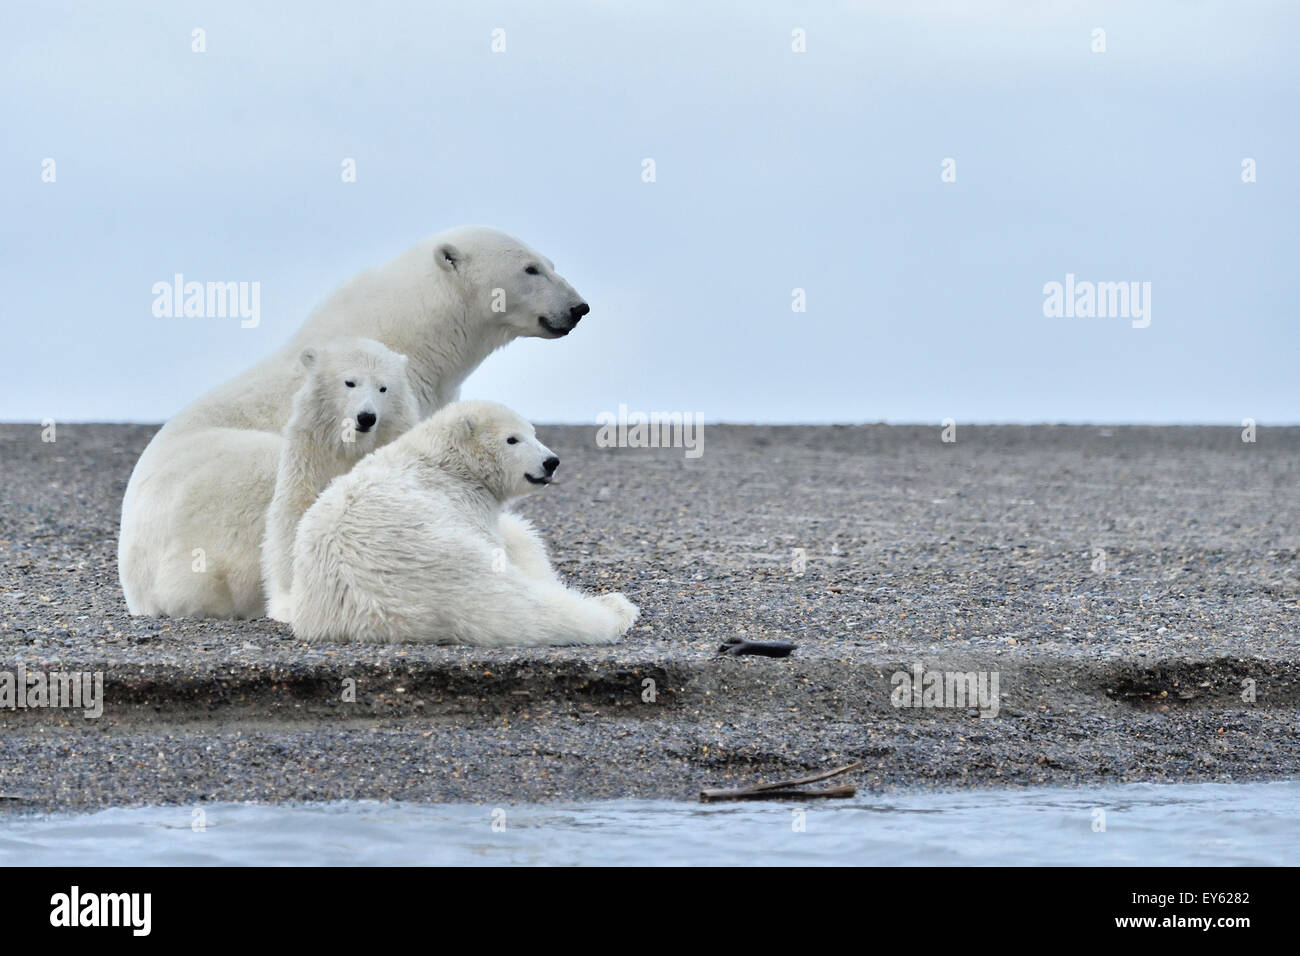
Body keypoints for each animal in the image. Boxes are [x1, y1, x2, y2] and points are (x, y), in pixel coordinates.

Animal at [261, 338, 418, 622]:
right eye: (350, 382)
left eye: (383, 387)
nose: (366, 417)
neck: (350, 446)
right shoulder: (309, 455)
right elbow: (295, 512)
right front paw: (288, 604)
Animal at [289, 401, 639, 646]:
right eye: (512, 439)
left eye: (534, 433)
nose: (551, 461)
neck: (443, 460)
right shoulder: (464, 501)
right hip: (449, 560)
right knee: (523, 605)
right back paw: (615, 608)